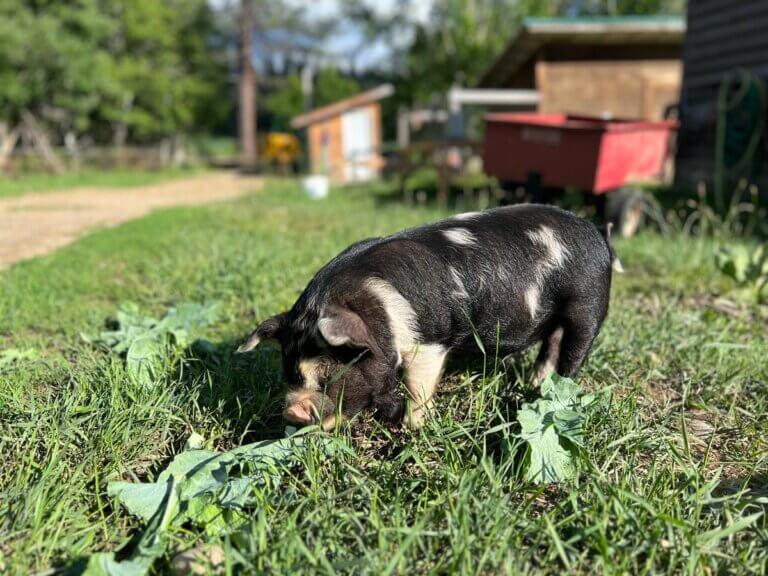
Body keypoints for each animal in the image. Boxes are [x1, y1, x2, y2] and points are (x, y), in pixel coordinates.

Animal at [237, 204, 617, 429]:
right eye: (289, 373)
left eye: (330, 375)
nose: (292, 411)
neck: (376, 307)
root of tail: (596, 231)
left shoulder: (432, 341)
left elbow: (418, 385)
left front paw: (412, 426)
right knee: (551, 344)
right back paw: (537, 385)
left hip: (588, 303)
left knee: (575, 350)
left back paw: (553, 393)